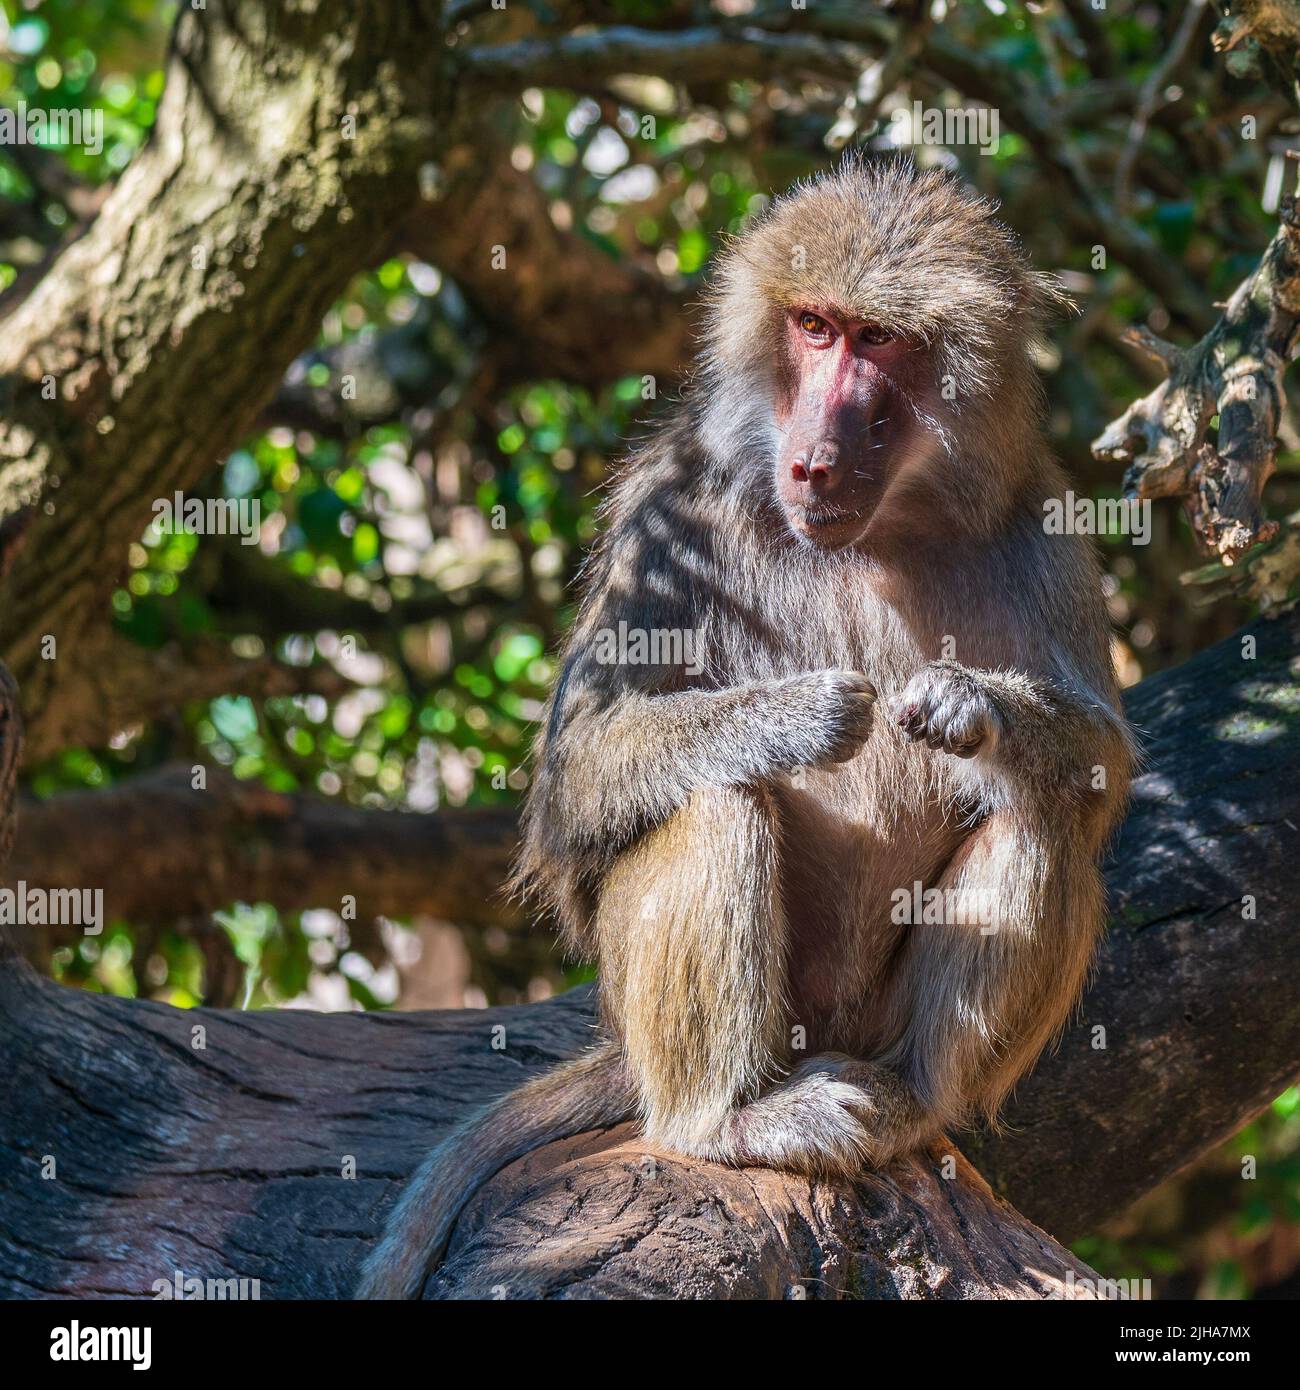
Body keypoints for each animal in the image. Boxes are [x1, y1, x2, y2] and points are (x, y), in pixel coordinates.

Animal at [356, 156, 1134, 1299]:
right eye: (813, 327)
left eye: (880, 341)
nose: (815, 458)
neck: (880, 527)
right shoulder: (667, 509)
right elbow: (574, 779)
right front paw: (800, 714)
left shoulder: (1047, 524)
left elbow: (1101, 768)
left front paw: (970, 705)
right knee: (714, 797)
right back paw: (723, 1120)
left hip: (861, 1028)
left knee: (1032, 810)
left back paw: (916, 1102)